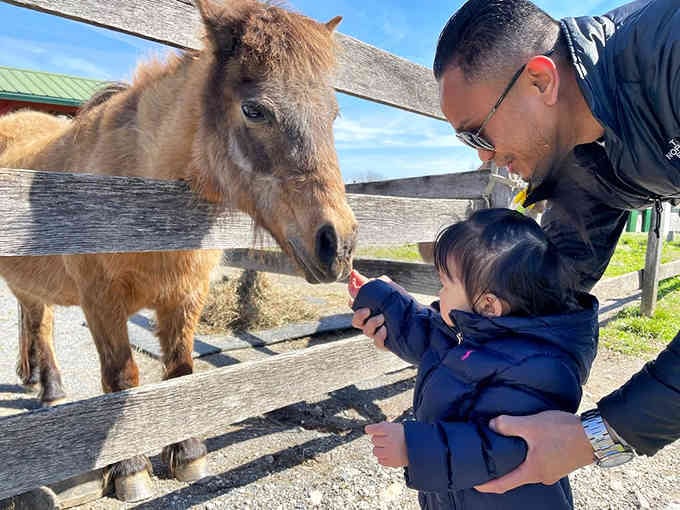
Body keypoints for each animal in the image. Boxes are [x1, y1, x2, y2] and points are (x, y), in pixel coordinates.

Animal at [0, 0, 356, 501]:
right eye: (254, 109)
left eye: (333, 114)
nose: (337, 243)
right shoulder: (101, 303)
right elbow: (123, 379)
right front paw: (129, 469)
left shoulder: (185, 297)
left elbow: (181, 372)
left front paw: (187, 453)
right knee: (41, 324)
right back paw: (50, 390)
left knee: (37, 317)